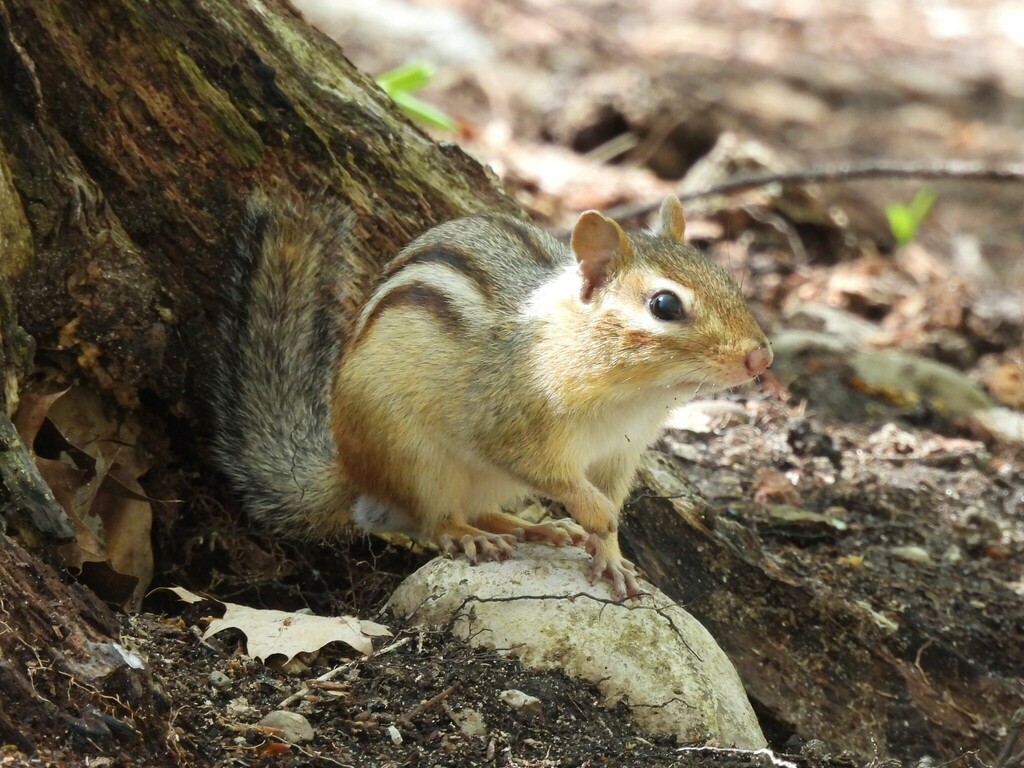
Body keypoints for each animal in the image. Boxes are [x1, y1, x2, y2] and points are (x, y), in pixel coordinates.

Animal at [210, 193, 772, 600]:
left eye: (727, 280)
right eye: (664, 305)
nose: (761, 358)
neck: (631, 397)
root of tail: (352, 468)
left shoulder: (621, 452)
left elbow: (612, 499)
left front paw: (611, 555)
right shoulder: (510, 424)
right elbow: (564, 482)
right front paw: (595, 518)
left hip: (485, 481)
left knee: (475, 508)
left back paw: (534, 529)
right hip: (413, 456)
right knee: (434, 518)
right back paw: (472, 535)